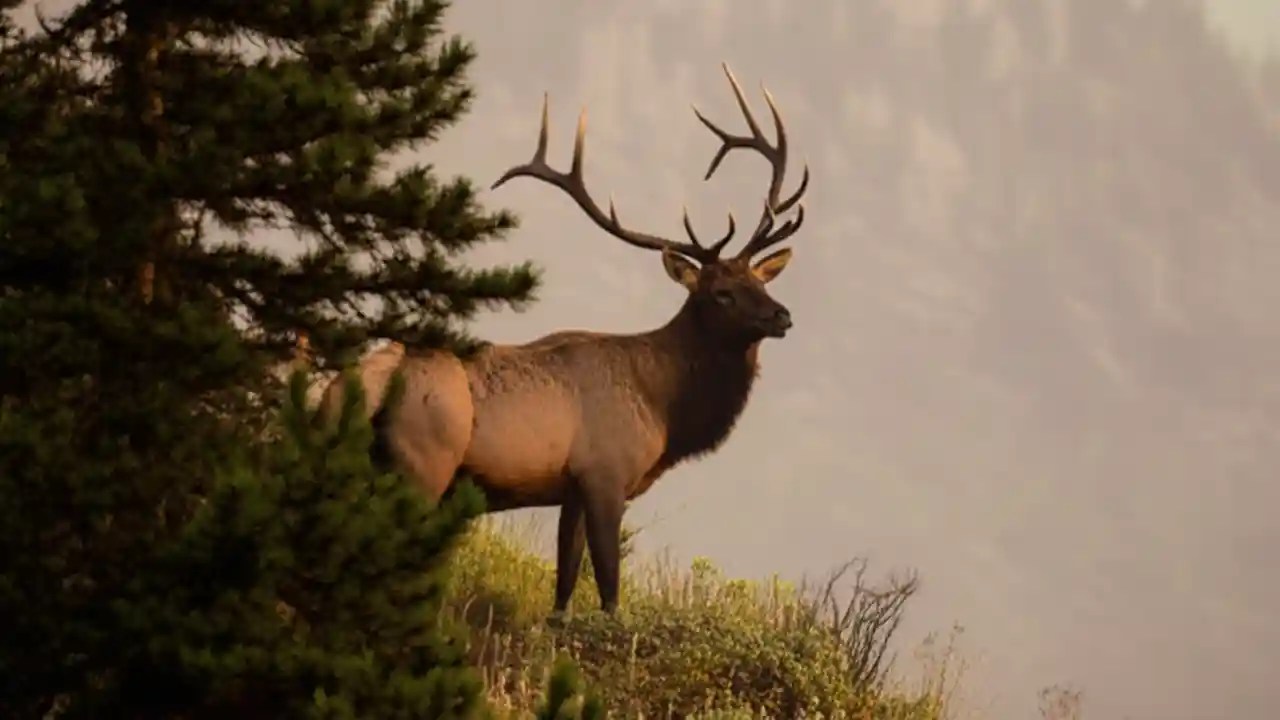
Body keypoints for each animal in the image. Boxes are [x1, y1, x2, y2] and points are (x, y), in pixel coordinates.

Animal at [315, 63, 809, 615]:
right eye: (722, 293)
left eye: (761, 281)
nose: (782, 315)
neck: (662, 406)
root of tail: (368, 382)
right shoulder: (605, 475)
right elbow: (609, 590)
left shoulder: (570, 490)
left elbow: (563, 592)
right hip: (425, 459)